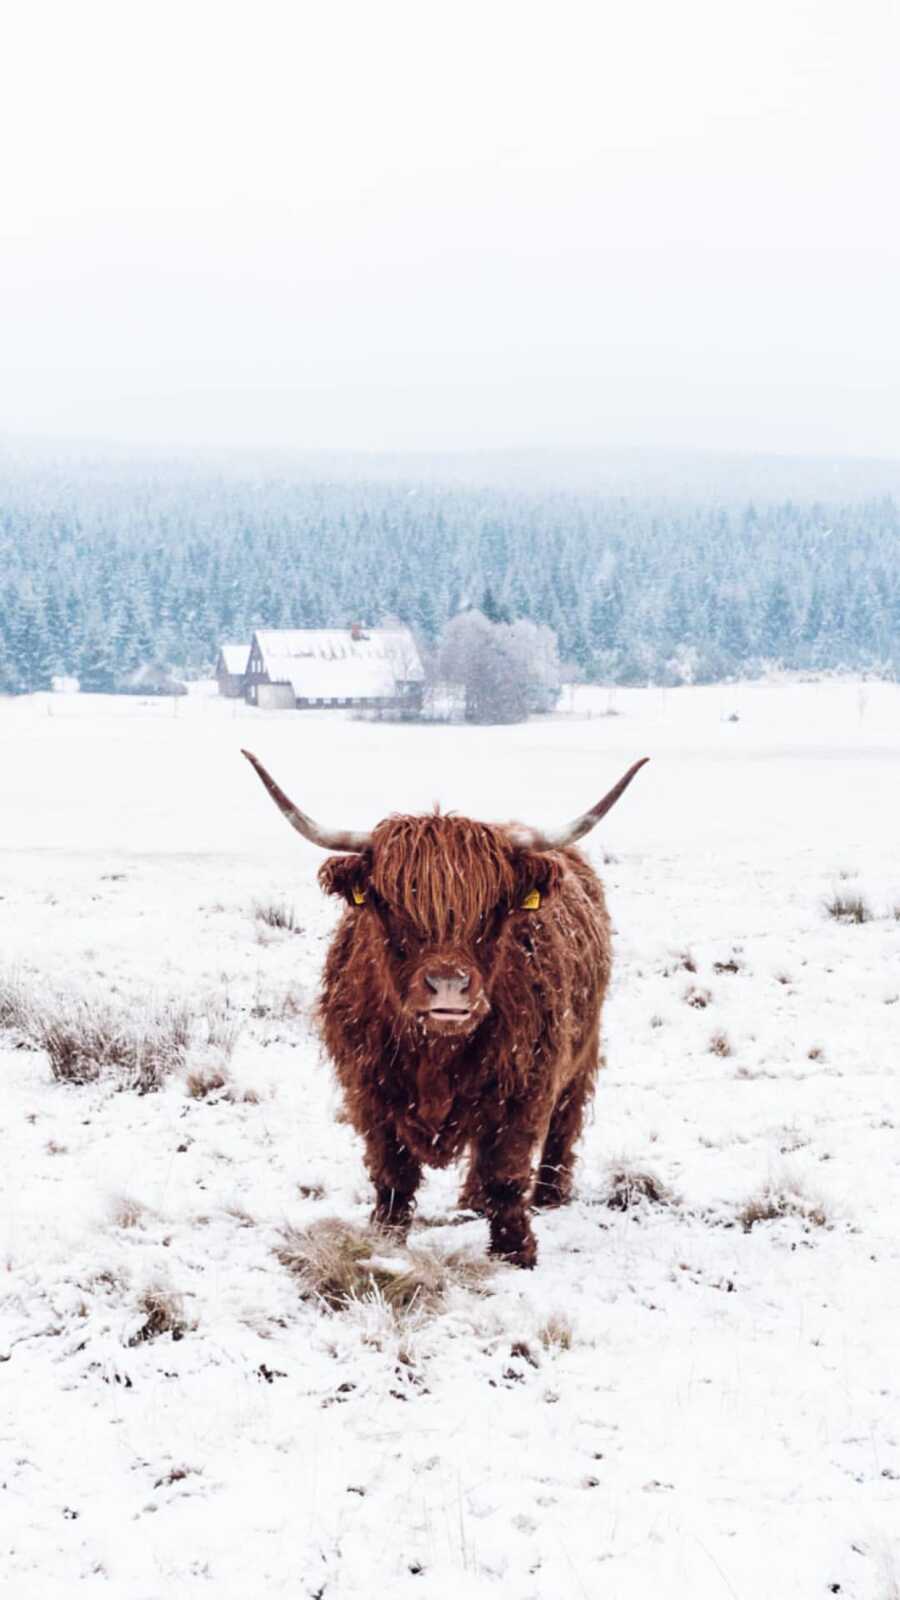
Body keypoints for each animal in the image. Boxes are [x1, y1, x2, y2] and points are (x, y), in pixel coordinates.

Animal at [242, 750, 648, 1268]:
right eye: (393, 906)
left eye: (494, 910)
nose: (450, 987)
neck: (435, 1053)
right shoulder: (368, 1087)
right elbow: (392, 1173)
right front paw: (385, 1241)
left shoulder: (526, 1083)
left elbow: (506, 1170)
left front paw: (515, 1251)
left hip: (584, 1047)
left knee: (564, 1121)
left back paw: (549, 1194)